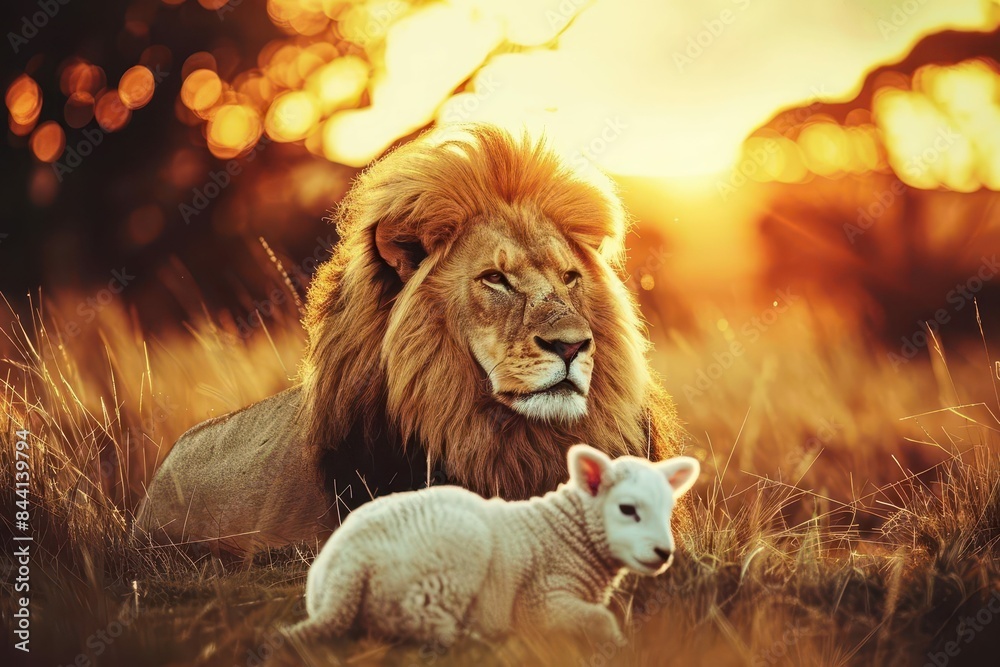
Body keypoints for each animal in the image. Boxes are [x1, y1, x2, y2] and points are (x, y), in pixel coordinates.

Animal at [286, 444, 700, 647]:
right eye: (627, 509)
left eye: (668, 508)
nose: (664, 554)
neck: (564, 531)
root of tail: (349, 566)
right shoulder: (541, 601)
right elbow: (601, 619)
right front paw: (619, 644)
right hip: (454, 557)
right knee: (422, 624)